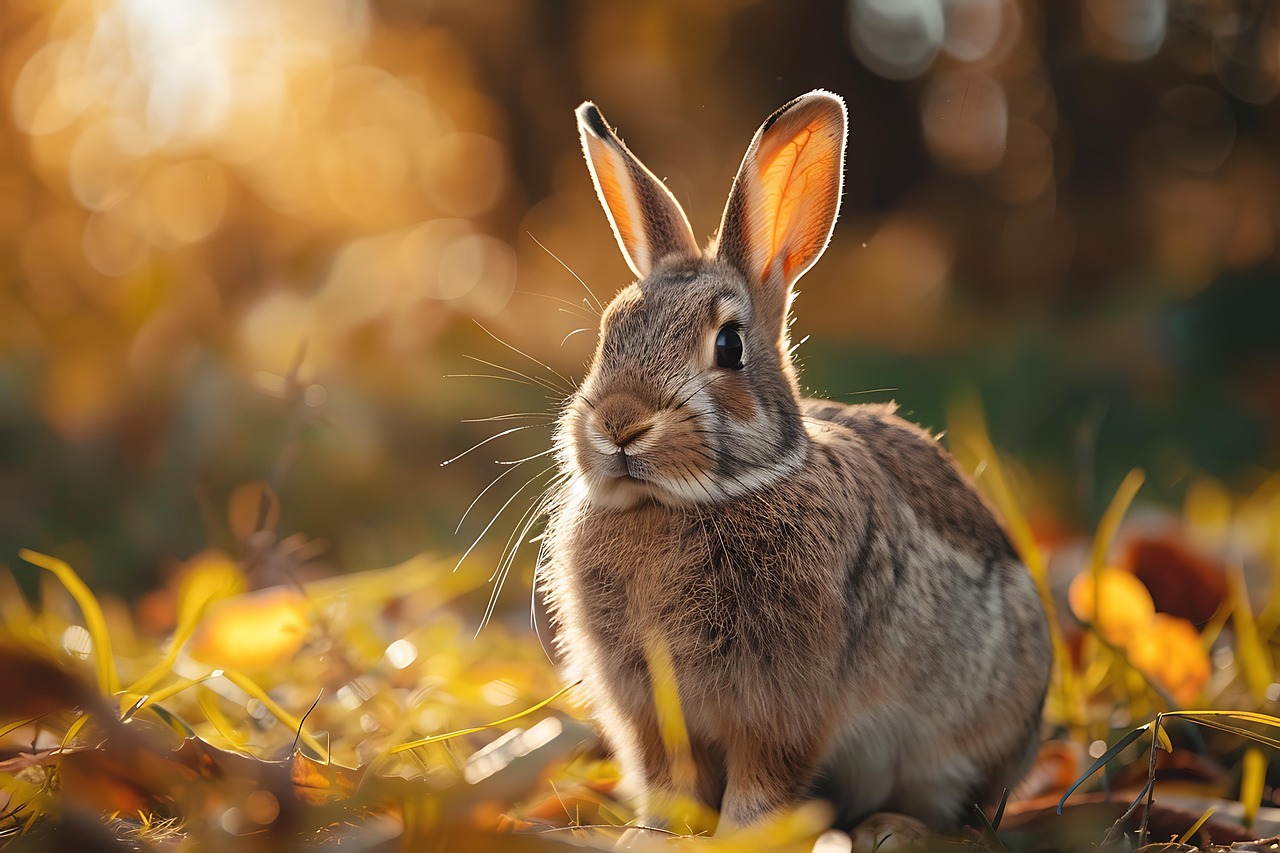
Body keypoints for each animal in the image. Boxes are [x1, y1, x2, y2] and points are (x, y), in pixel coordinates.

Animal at [536, 90, 1053, 837]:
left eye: (728, 345)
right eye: (610, 332)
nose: (619, 424)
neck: (687, 501)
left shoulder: (783, 702)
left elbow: (763, 778)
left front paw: (740, 835)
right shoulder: (649, 711)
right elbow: (669, 778)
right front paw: (653, 834)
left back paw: (890, 830)